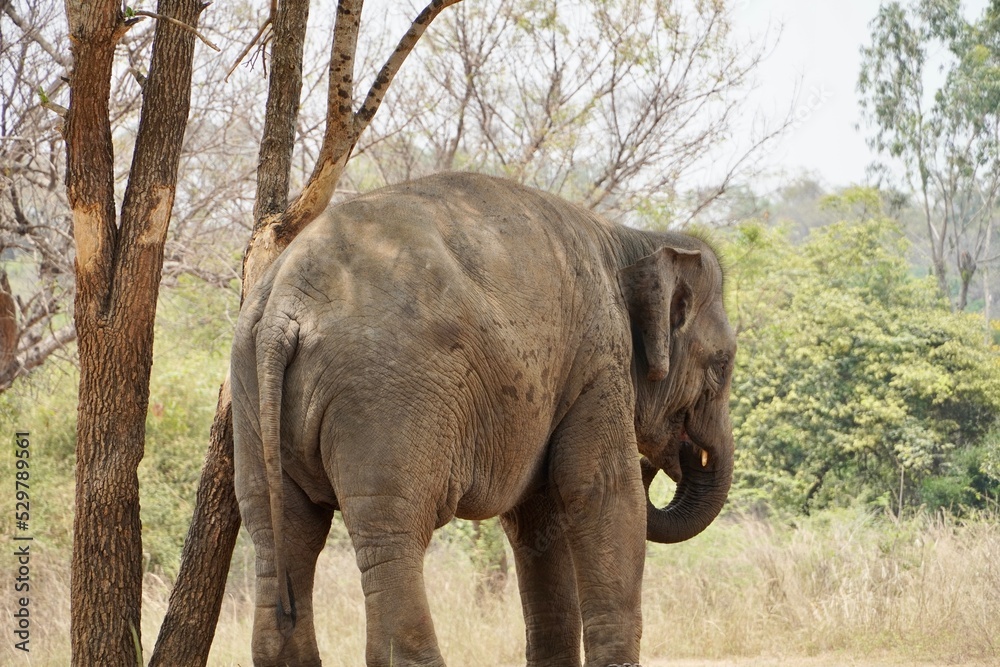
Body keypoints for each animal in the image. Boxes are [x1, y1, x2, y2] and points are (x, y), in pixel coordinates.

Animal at [231, 172, 736, 667]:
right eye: (723, 364)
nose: (664, 460)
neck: (631, 239)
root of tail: (285, 307)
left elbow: (539, 518)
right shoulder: (599, 361)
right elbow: (603, 492)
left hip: (250, 393)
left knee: (282, 533)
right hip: (382, 395)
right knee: (391, 534)